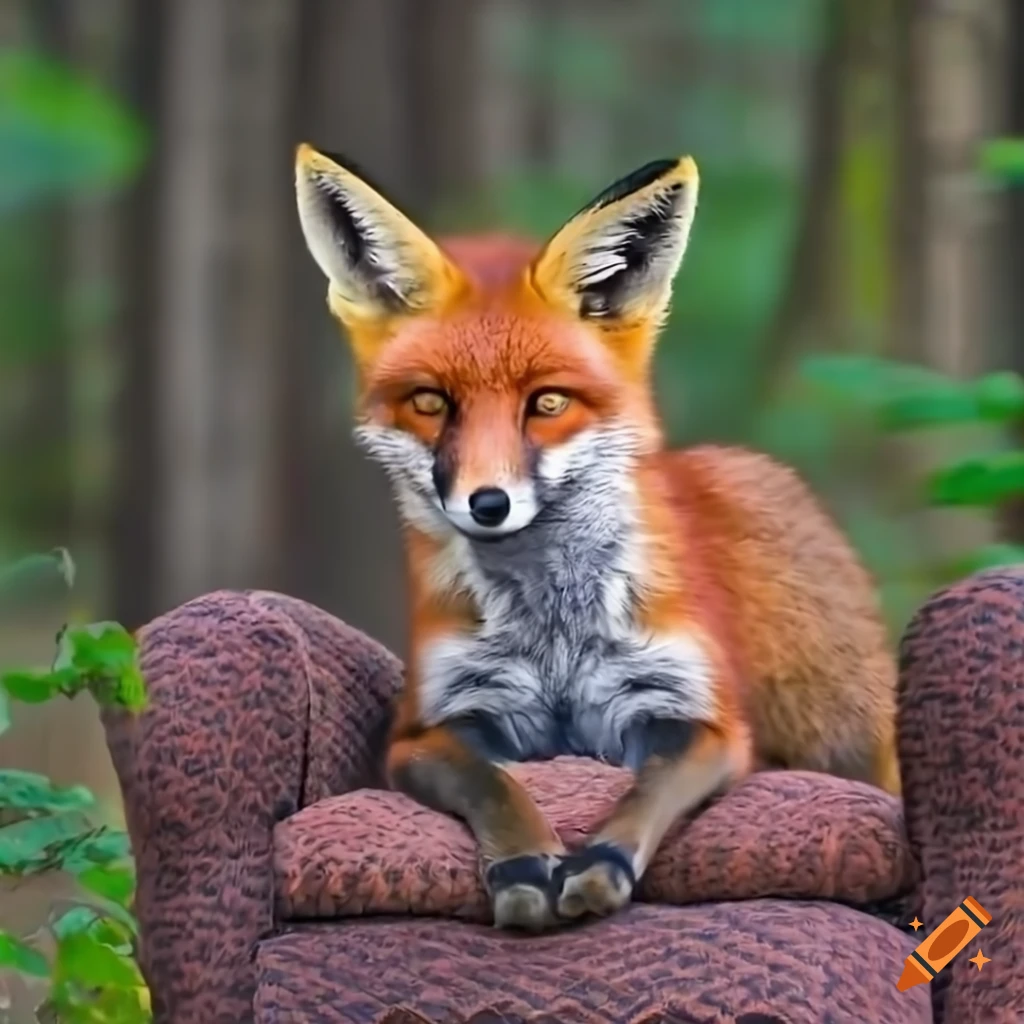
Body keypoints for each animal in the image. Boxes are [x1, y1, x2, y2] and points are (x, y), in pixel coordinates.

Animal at [293, 144, 900, 934]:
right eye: (430, 402)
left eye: (547, 402)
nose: (487, 504)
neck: (556, 632)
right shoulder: (432, 727)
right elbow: (495, 786)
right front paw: (524, 864)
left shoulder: (695, 717)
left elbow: (645, 793)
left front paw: (600, 865)